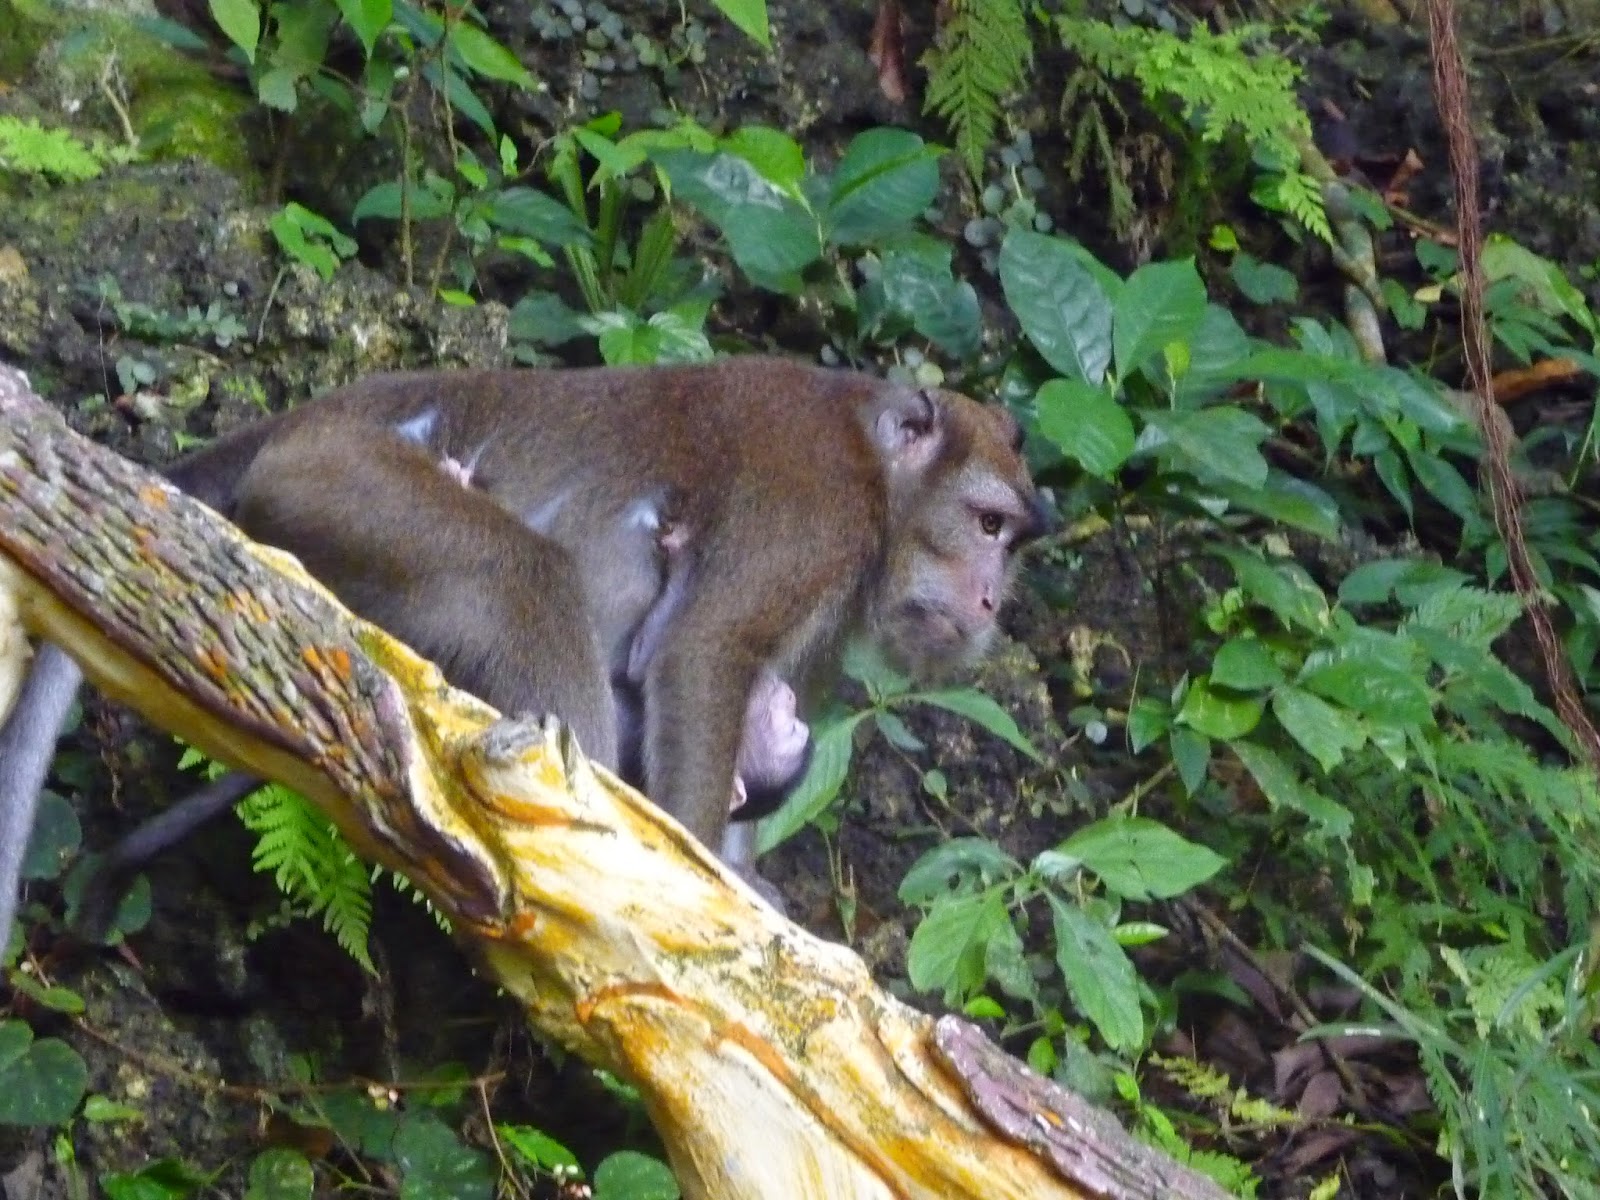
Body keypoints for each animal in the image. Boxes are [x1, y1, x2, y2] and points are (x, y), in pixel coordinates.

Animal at [0, 357, 1048, 945]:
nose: (992, 600)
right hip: (341, 479)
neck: (876, 475)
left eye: (1011, 539)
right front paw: (707, 880)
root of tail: (312, 415)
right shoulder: (811, 513)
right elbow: (699, 654)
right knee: (522, 575)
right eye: (987, 522)